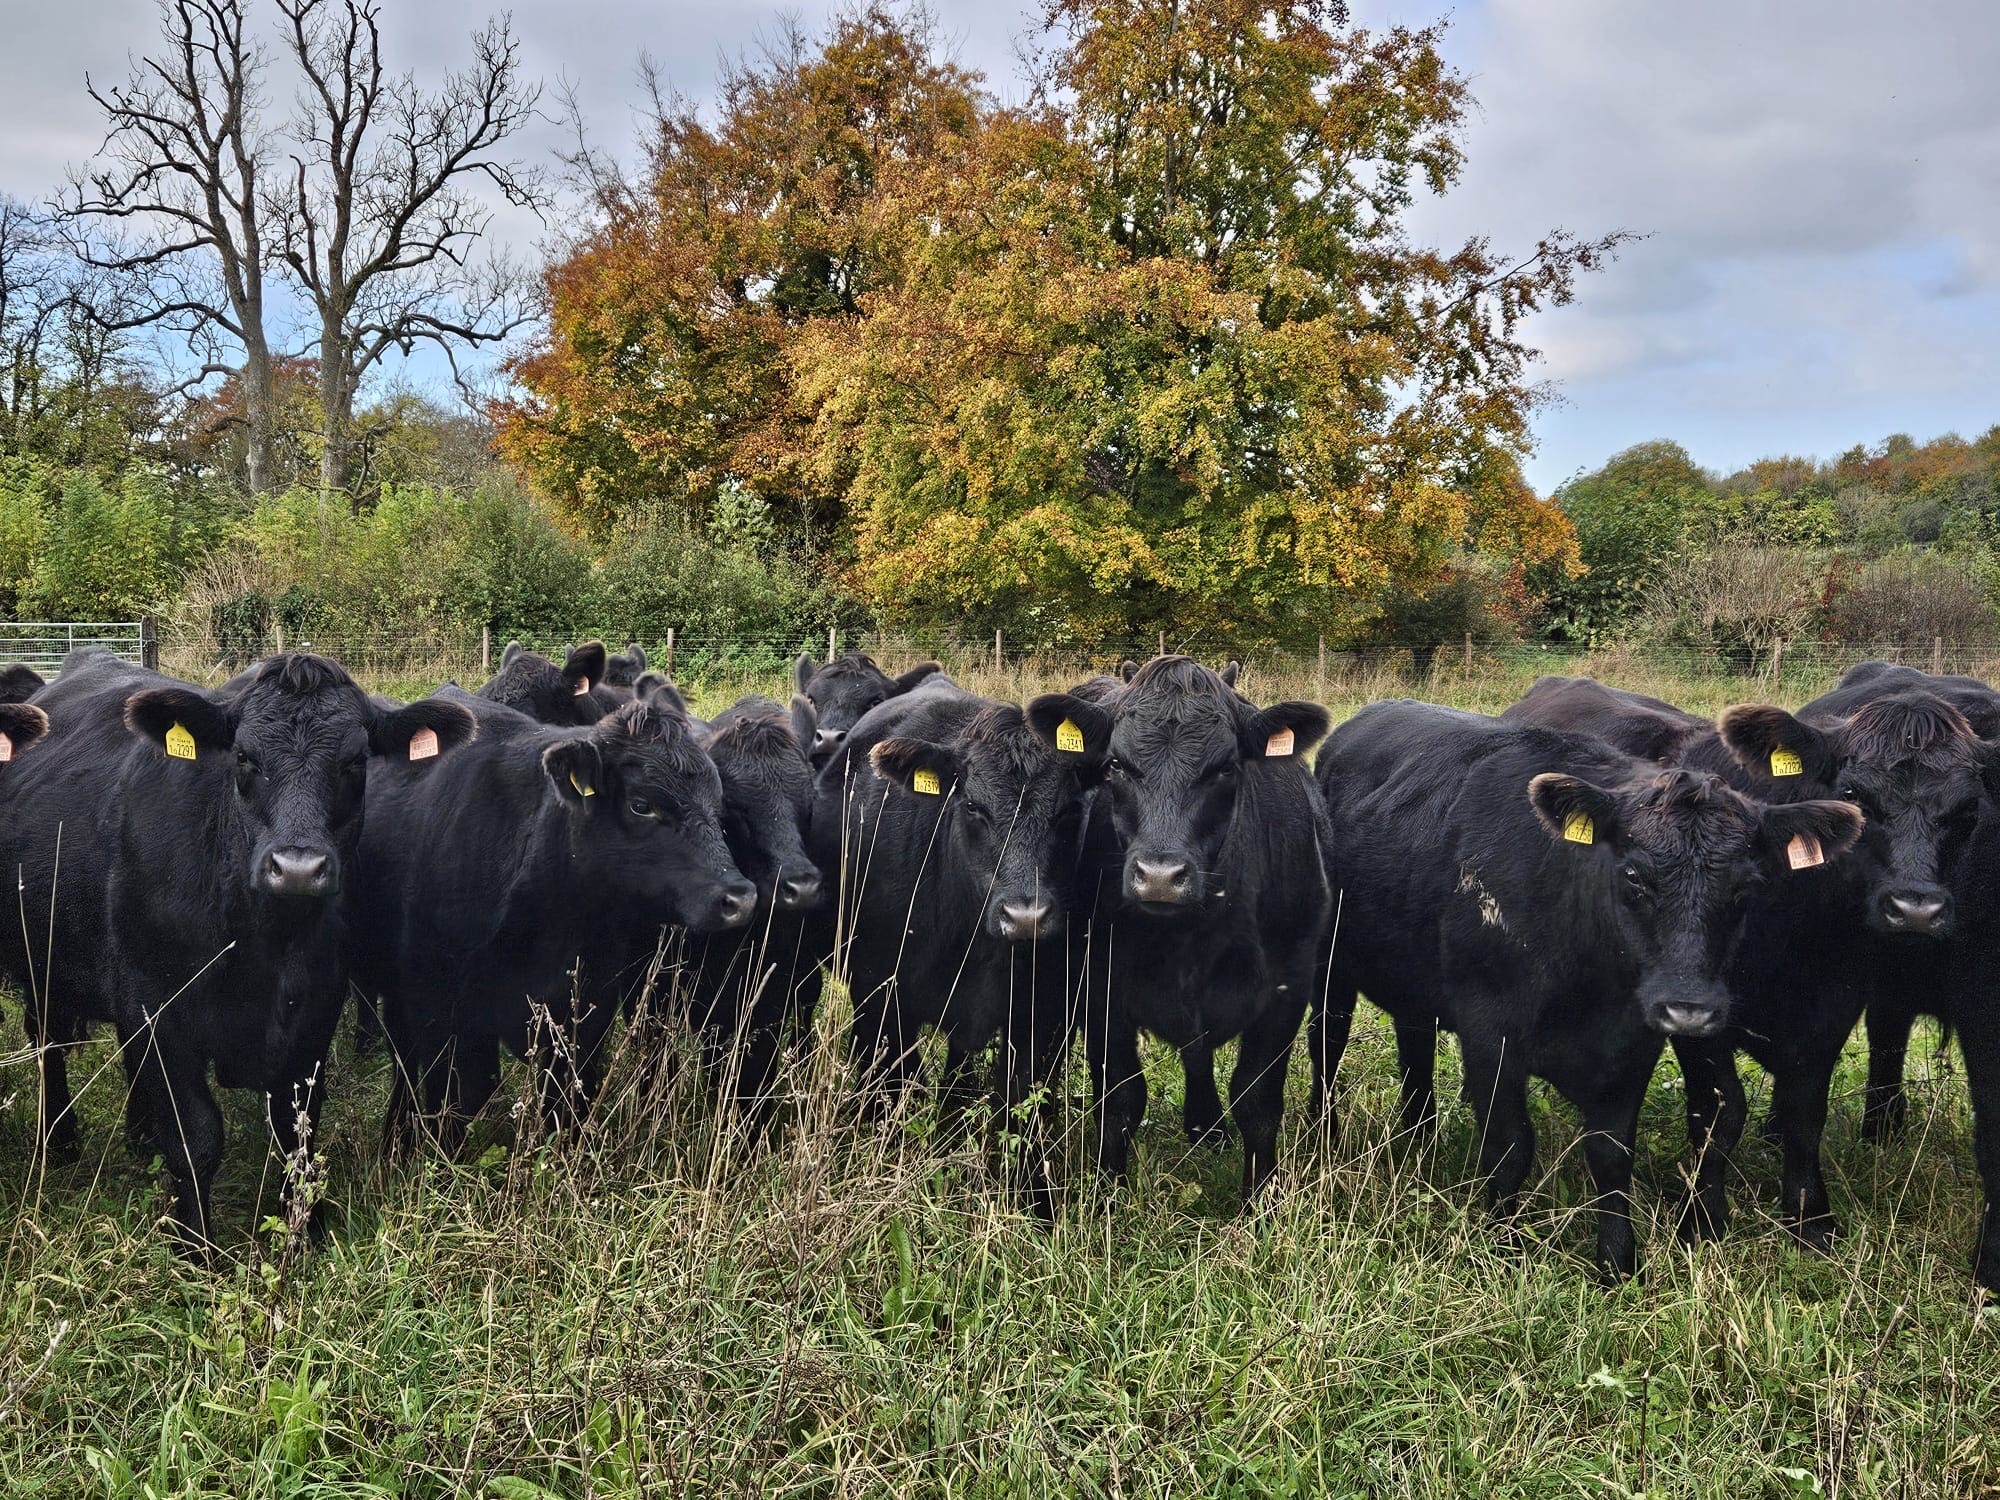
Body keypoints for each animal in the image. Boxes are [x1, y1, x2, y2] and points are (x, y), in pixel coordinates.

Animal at [0, 648, 474, 1250]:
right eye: (245, 757)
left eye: (356, 762)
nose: (298, 868)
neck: (263, 945)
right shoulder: (158, 1008)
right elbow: (196, 1136)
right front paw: (193, 1246)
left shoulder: (316, 1009)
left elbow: (297, 1130)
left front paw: (304, 1233)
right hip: (46, 968)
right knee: (49, 1044)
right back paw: (59, 1142)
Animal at [353, 682, 757, 1156]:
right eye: (641, 805)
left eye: (718, 804)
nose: (740, 897)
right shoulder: (438, 1008)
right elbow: (450, 1101)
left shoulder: (585, 1011)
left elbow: (562, 1104)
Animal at [807, 676, 1110, 1203]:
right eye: (972, 806)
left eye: (1070, 810)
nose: (1025, 916)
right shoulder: (882, 996)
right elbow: (895, 1086)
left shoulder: (1043, 1014)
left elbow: (1023, 1110)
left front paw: (1033, 1200)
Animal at [1072, 656, 1331, 1206]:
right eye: (1115, 765)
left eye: (1225, 767)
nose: (1160, 876)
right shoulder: (1101, 987)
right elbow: (1121, 1097)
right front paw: (1106, 1194)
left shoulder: (1288, 987)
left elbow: (1257, 1099)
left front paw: (1259, 1200)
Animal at [1313, 699, 1863, 1274]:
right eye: (1633, 875)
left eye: (1747, 886)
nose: (1689, 1007)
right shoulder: (1489, 1035)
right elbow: (1509, 1148)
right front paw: (1502, 1244)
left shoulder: (1634, 1045)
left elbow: (1611, 1154)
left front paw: (1618, 1262)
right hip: (1331, 973)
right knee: (1327, 1043)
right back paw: (1324, 1137)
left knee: (1413, 1043)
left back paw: (1419, 1137)